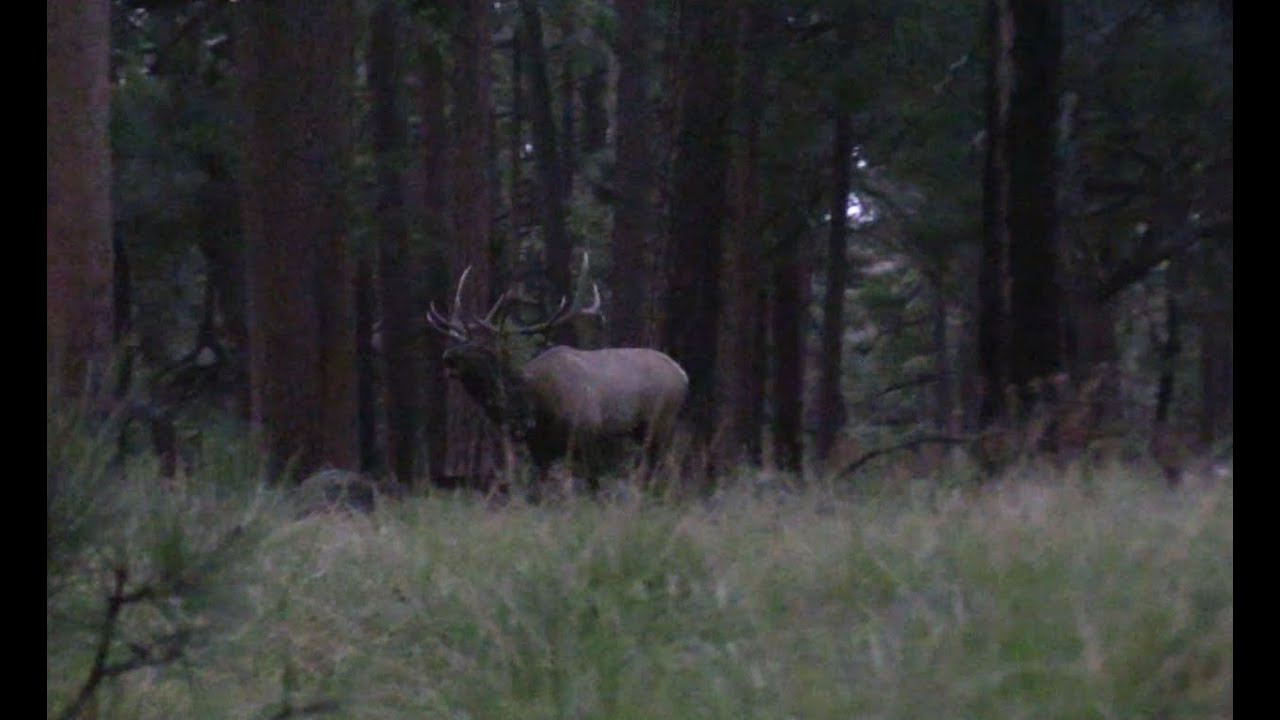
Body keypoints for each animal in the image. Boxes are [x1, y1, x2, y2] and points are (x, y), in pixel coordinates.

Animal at [425, 257, 689, 493]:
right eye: (463, 342)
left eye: (484, 349)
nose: (448, 356)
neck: (535, 406)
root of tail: (684, 375)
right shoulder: (539, 449)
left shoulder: (586, 435)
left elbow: (592, 487)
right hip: (642, 431)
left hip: (661, 422)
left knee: (667, 466)